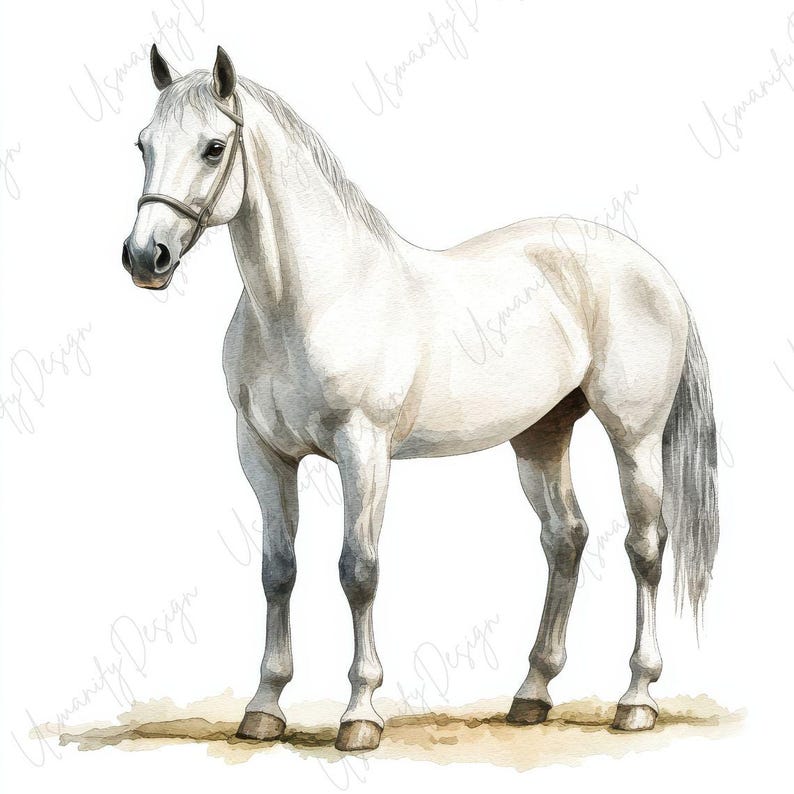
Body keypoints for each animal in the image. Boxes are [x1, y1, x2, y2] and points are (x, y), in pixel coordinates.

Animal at [122, 45, 719, 751]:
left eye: (214, 147)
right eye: (142, 144)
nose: (145, 257)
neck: (314, 298)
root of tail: (653, 270)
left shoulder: (364, 448)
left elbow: (359, 570)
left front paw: (360, 714)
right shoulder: (263, 454)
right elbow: (277, 570)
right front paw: (264, 707)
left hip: (635, 438)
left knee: (646, 547)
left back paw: (637, 697)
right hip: (541, 437)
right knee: (566, 539)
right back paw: (532, 693)